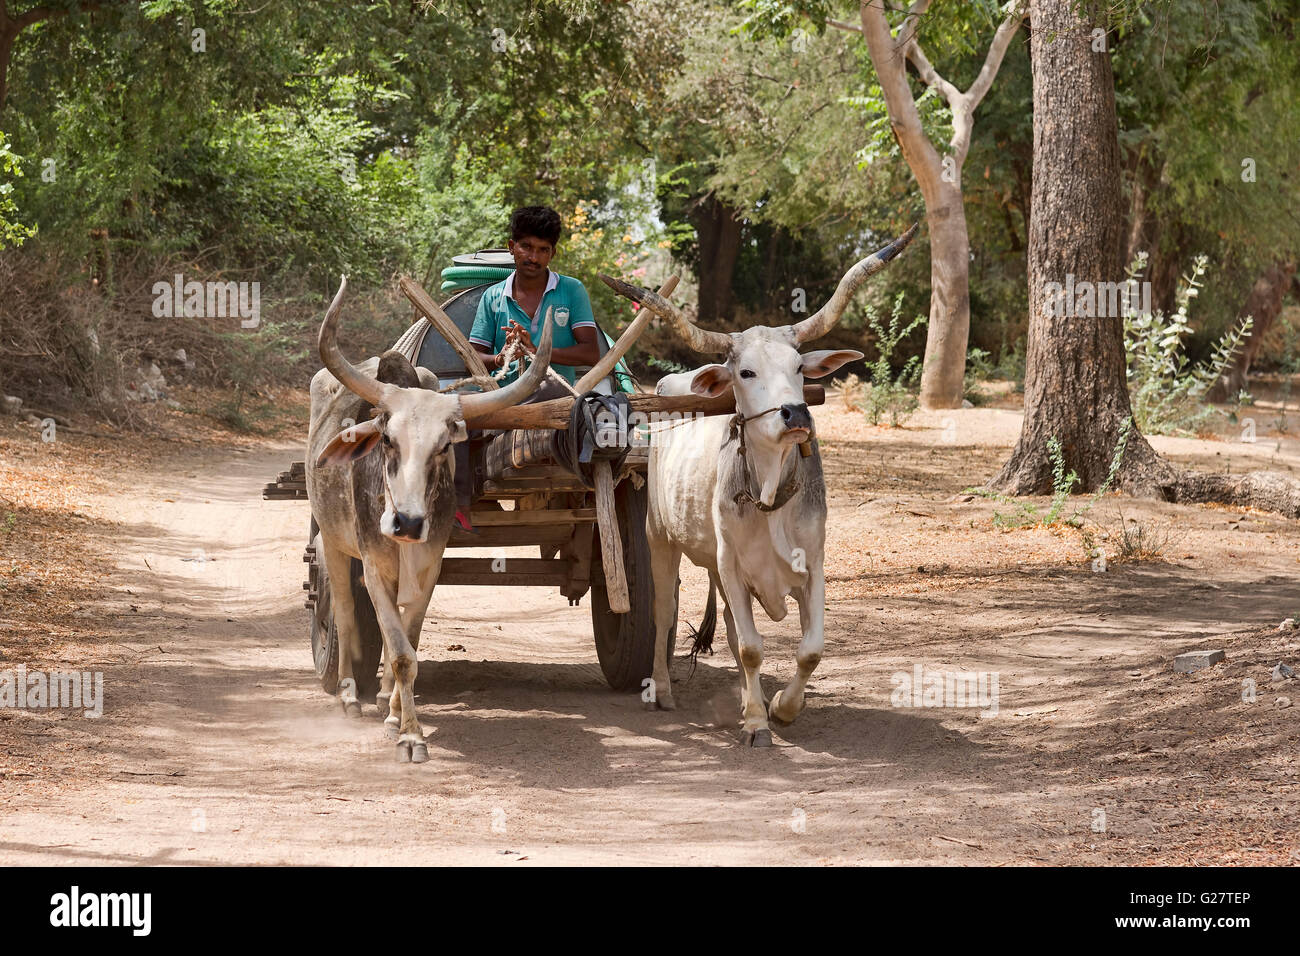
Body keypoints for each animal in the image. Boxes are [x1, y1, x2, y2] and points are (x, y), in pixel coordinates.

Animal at [305, 276, 554, 762]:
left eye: (443, 447)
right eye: (386, 439)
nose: (406, 523)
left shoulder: (430, 567)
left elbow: (410, 644)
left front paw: (397, 718)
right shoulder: (374, 567)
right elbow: (400, 651)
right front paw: (410, 736)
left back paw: (383, 697)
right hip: (332, 542)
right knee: (344, 611)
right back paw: (349, 694)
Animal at [601, 224, 918, 746]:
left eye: (798, 368)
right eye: (745, 372)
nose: (796, 414)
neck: (770, 496)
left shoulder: (812, 564)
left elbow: (809, 649)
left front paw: (782, 709)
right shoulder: (731, 565)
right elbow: (751, 647)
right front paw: (755, 722)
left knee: (729, 630)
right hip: (659, 537)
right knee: (664, 613)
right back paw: (663, 690)